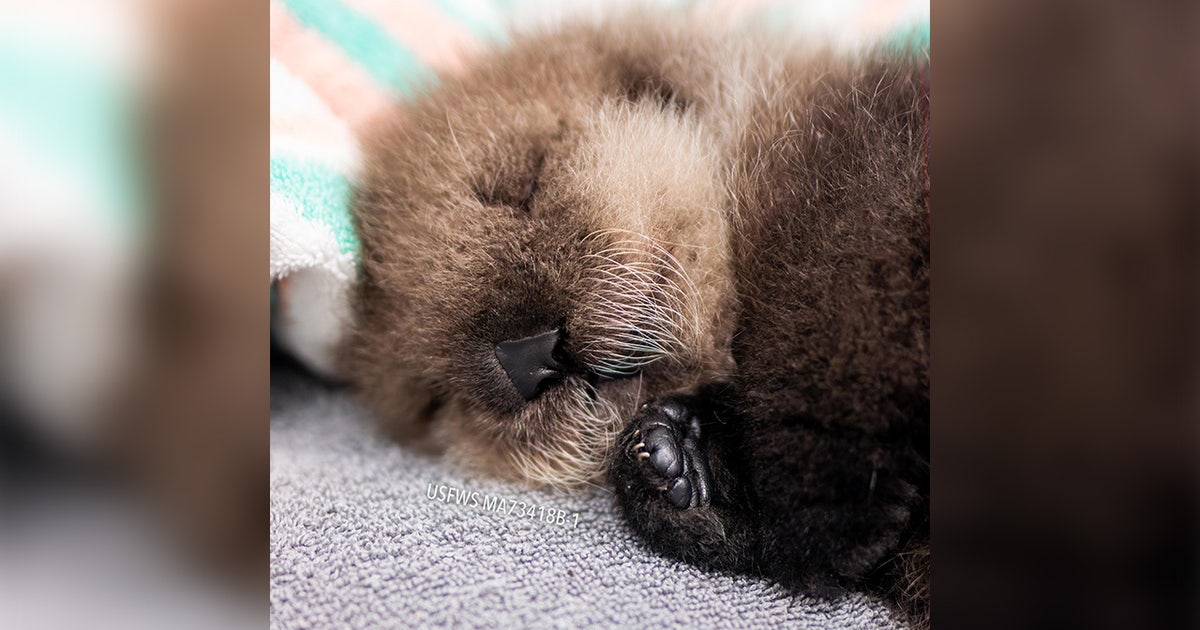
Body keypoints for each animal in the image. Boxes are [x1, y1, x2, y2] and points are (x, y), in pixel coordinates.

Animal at [342, 15, 929, 628]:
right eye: (434, 399)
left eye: (524, 183)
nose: (525, 357)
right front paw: (678, 459)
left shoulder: (856, 186)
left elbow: (833, 309)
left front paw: (828, 512)